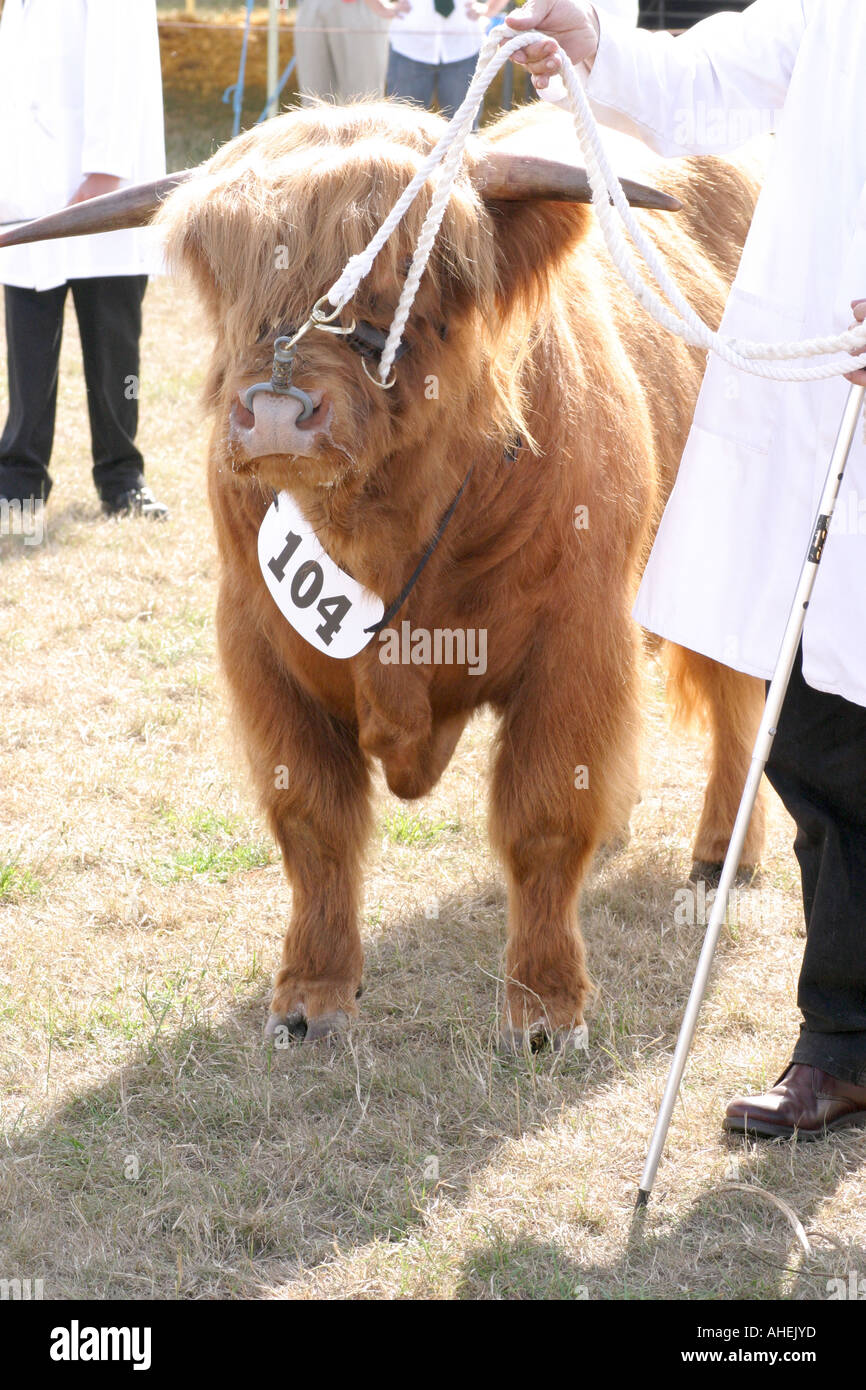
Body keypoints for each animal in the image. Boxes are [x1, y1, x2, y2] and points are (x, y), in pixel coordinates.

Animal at [4, 101, 766, 1050]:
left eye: (412, 272)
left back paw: (722, 857)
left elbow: (545, 817)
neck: (384, 527)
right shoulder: (260, 652)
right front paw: (310, 995)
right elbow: (314, 826)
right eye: (234, 275)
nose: (277, 413)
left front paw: (544, 1010)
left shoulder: (577, 645)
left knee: (737, 706)